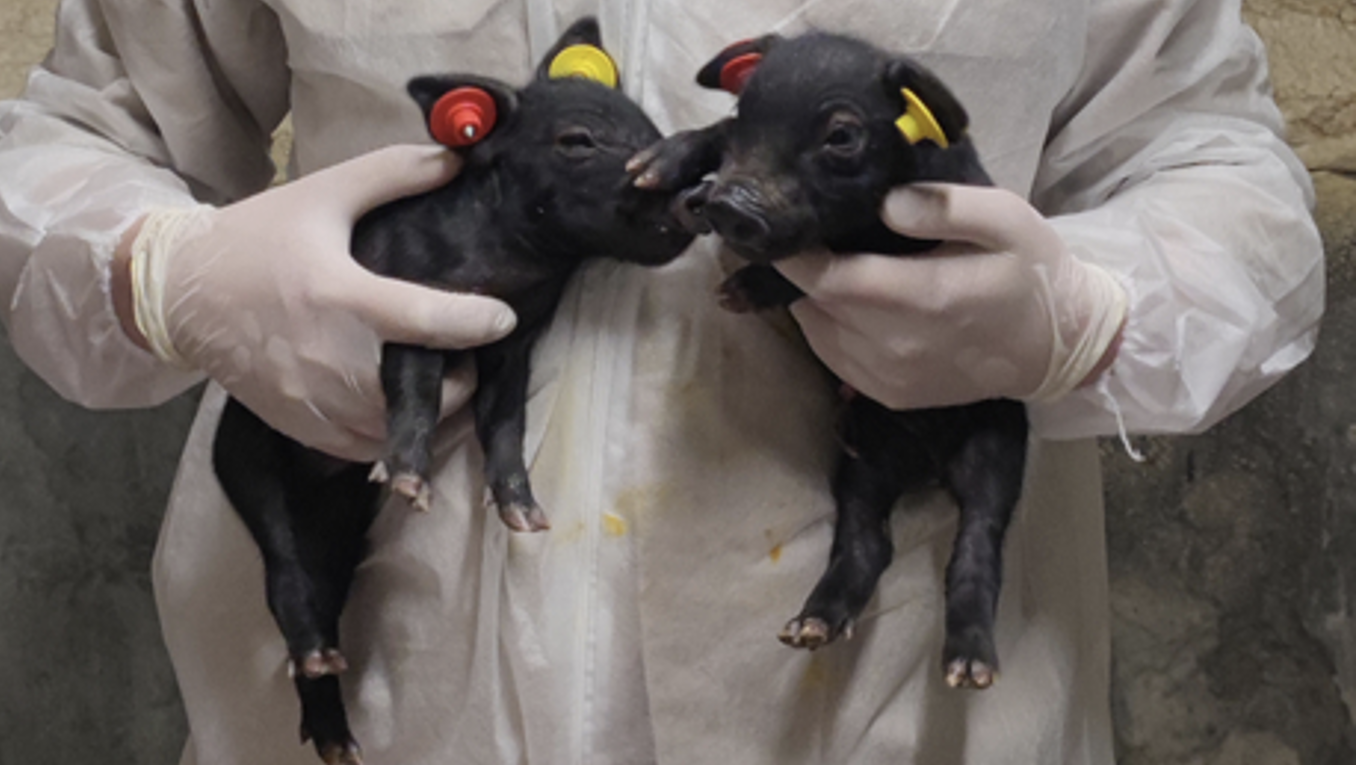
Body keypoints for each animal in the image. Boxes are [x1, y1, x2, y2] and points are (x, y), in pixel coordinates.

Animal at [210, 17, 693, 764]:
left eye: (652, 129)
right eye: (578, 140)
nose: (694, 191)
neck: (513, 268)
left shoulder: (514, 345)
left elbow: (505, 424)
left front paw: (528, 518)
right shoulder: (413, 303)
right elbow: (415, 390)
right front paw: (410, 485)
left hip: (341, 521)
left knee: (321, 588)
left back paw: (339, 739)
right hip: (242, 453)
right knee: (280, 568)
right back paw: (319, 665)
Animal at [629, 32, 1027, 691]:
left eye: (841, 135)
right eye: (745, 111)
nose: (728, 203)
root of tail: (924, 460)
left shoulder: (915, 240)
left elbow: (823, 264)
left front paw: (738, 291)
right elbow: (717, 138)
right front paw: (652, 170)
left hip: (998, 435)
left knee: (982, 535)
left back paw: (969, 668)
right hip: (863, 463)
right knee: (869, 541)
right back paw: (808, 628)